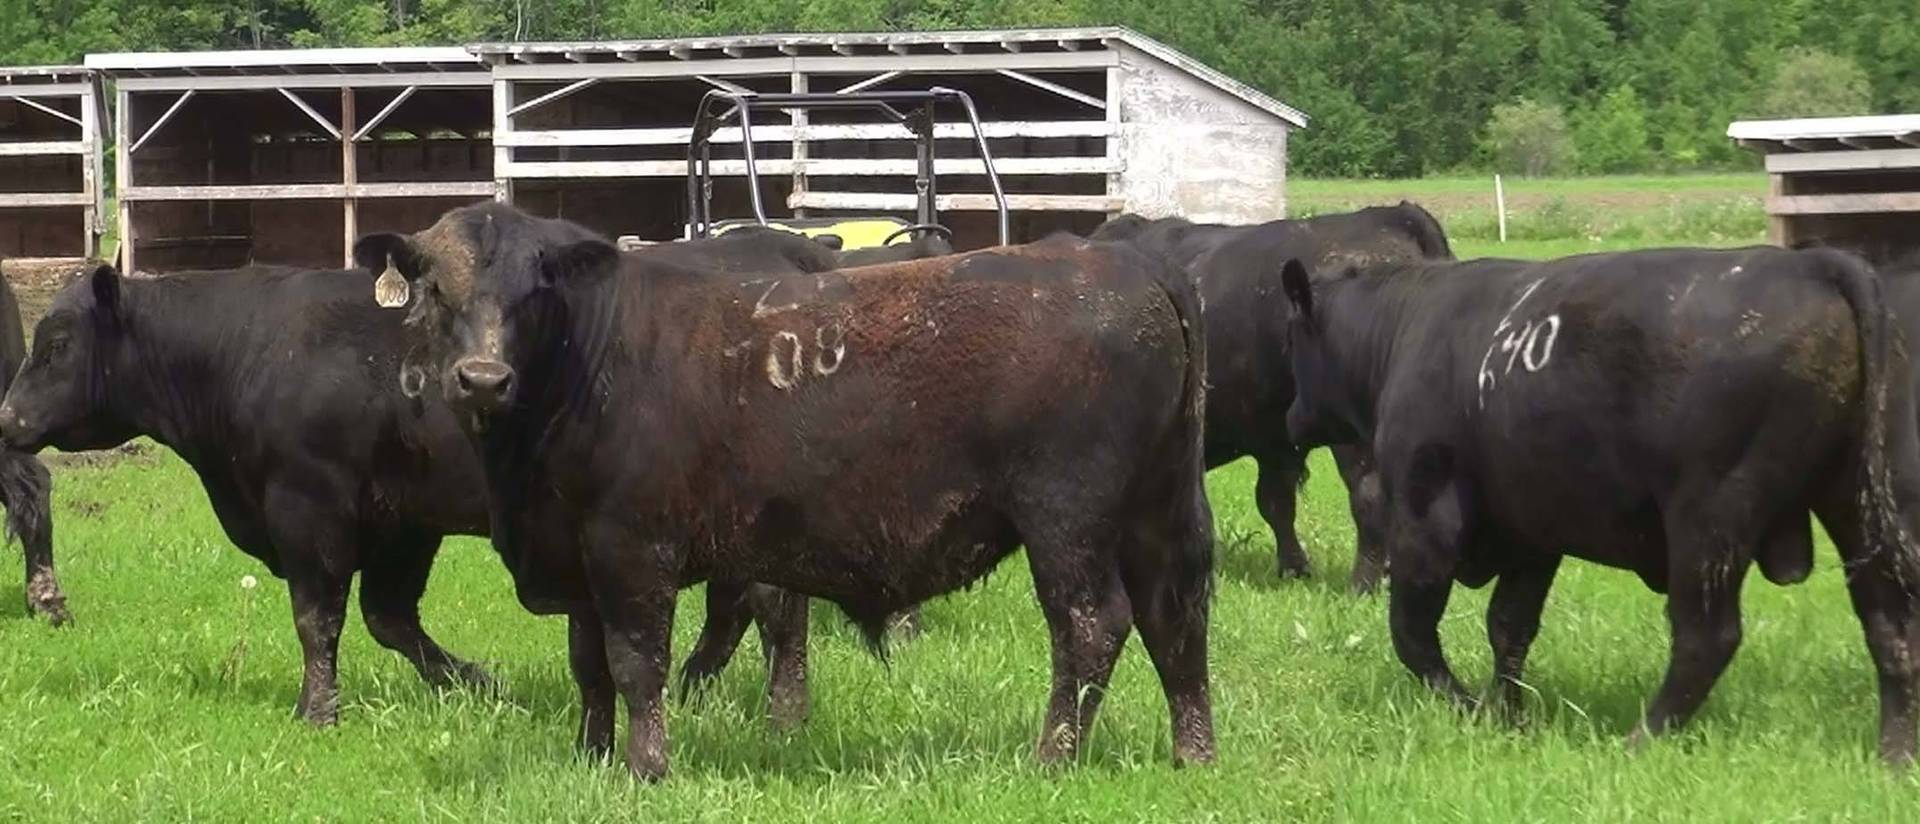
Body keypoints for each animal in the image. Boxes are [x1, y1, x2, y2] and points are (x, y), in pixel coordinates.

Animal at [0, 259, 807, 728]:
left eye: (58, 344)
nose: (6, 416)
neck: (251, 348)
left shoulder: (309, 509)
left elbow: (318, 619)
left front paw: (317, 711)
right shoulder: (403, 524)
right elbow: (391, 621)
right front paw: (478, 684)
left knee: (766, 606)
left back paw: (772, 711)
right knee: (747, 607)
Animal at [352, 202, 1216, 780]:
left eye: (534, 291)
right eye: (435, 290)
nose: (482, 378)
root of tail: (1127, 268)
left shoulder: (632, 548)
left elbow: (636, 663)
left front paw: (644, 767)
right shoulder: (576, 555)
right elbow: (589, 666)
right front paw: (591, 759)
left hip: (1068, 517)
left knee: (1092, 625)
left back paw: (1052, 757)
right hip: (1155, 510)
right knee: (1175, 622)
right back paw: (1193, 753)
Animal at [1091, 202, 1455, 591]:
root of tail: (1394, 216)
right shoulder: (1274, 441)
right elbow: (1275, 502)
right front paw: (1295, 568)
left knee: (1368, 494)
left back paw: (1363, 583)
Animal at [1280, 245, 1920, 765]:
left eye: (1296, 341)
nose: (1291, 416)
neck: (1405, 326)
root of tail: (1810, 263)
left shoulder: (1423, 521)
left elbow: (1412, 634)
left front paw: (1469, 709)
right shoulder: (1532, 533)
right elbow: (1508, 627)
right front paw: (1509, 716)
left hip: (1712, 514)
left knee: (1707, 636)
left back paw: (1642, 739)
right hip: (1856, 505)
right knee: (1890, 625)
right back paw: (1893, 758)